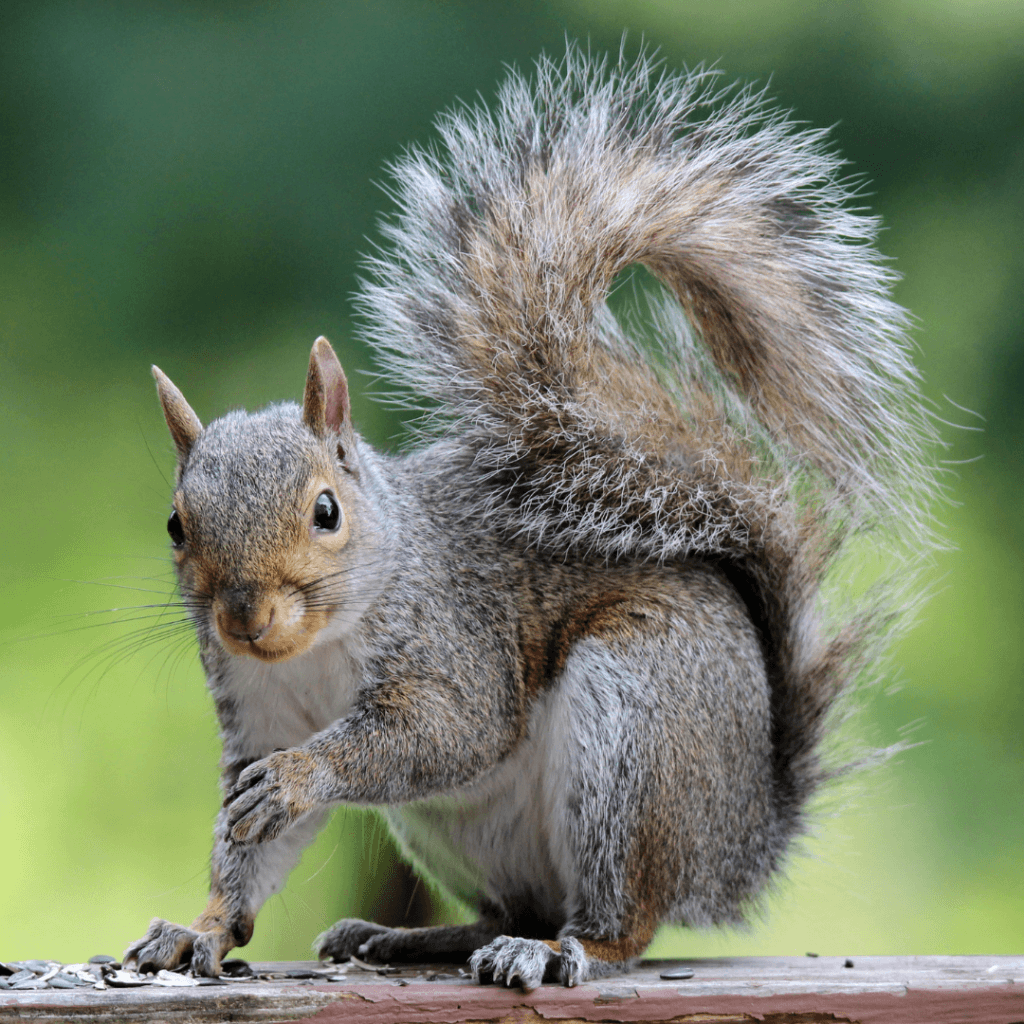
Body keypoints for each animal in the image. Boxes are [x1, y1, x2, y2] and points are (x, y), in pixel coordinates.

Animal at [123, 47, 934, 990]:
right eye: (176, 525)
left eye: (326, 510)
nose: (245, 617)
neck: (317, 648)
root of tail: (740, 843)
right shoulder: (253, 712)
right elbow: (249, 848)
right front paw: (201, 931)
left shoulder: (456, 643)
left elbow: (443, 733)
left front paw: (300, 775)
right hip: (465, 831)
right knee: (516, 907)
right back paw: (411, 938)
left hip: (637, 730)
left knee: (619, 921)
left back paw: (553, 951)